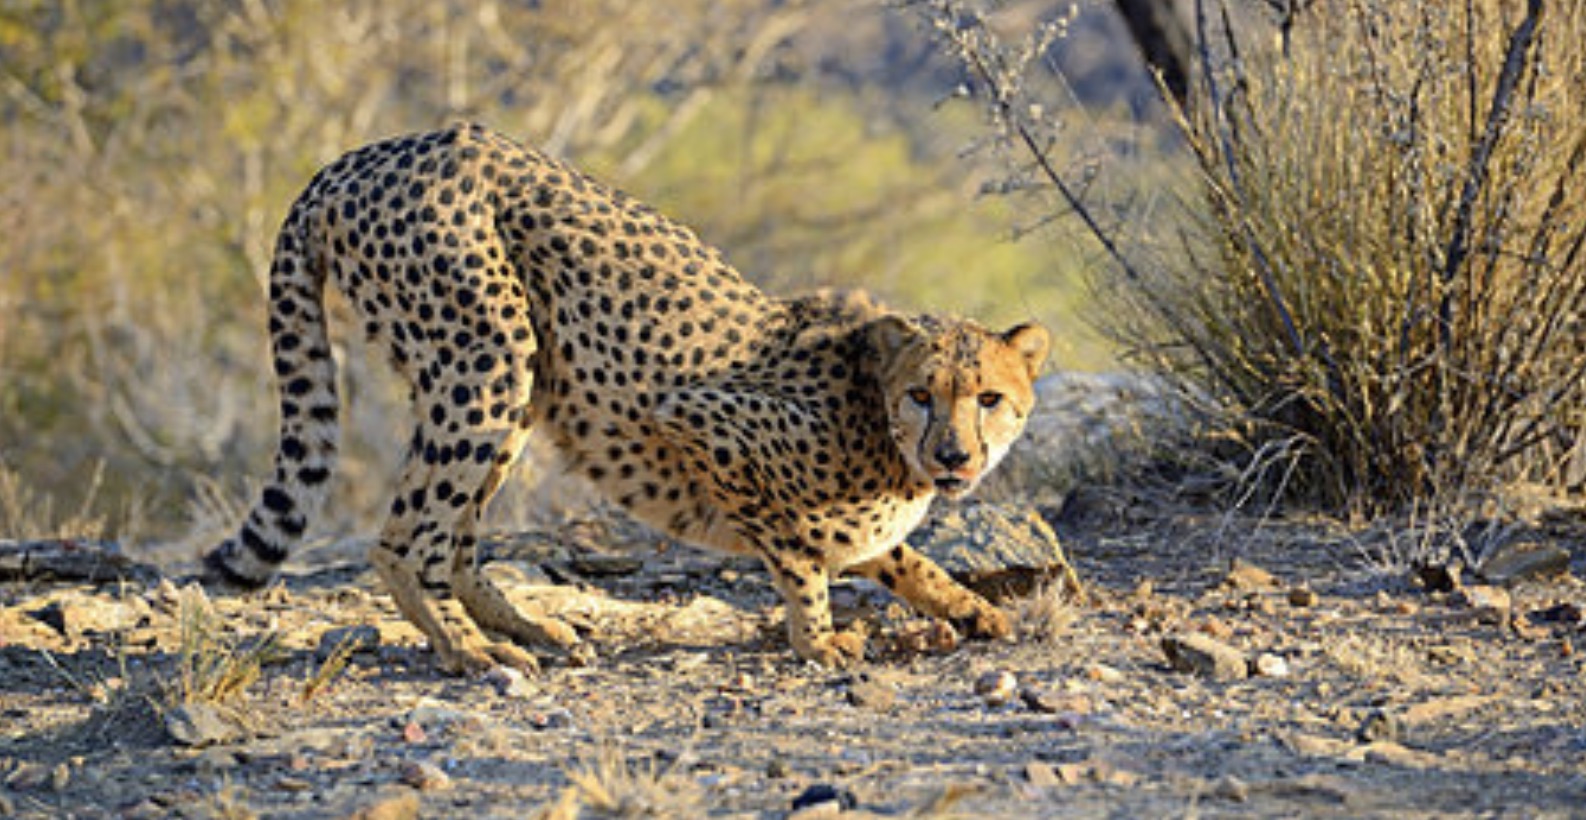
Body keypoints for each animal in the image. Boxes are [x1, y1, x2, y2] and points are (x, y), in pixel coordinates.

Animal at [205, 123, 1051, 674]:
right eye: (922, 394)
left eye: (990, 398)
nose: (954, 455)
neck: (877, 422)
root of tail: (361, 157)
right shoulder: (702, 420)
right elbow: (801, 557)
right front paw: (819, 640)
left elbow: (902, 557)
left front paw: (974, 609)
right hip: (489, 359)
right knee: (404, 538)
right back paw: (471, 650)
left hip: (510, 388)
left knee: (457, 538)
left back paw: (528, 628)